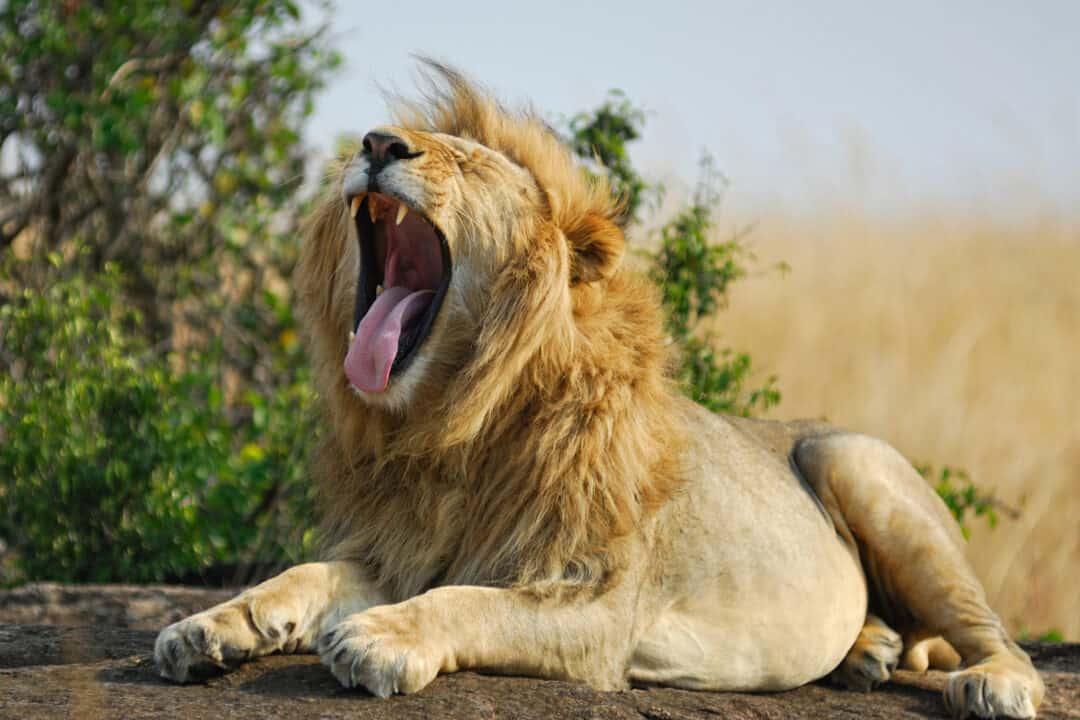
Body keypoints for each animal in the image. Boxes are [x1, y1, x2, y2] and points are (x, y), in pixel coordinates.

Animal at [154, 63, 1044, 719]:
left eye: (468, 163)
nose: (374, 142)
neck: (455, 426)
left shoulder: (600, 608)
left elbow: (467, 602)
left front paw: (380, 640)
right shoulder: (406, 546)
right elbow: (304, 574)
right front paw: (208, 626)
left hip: (858, 465)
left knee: (993, 633)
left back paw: (991, 683)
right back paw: (869, 650)